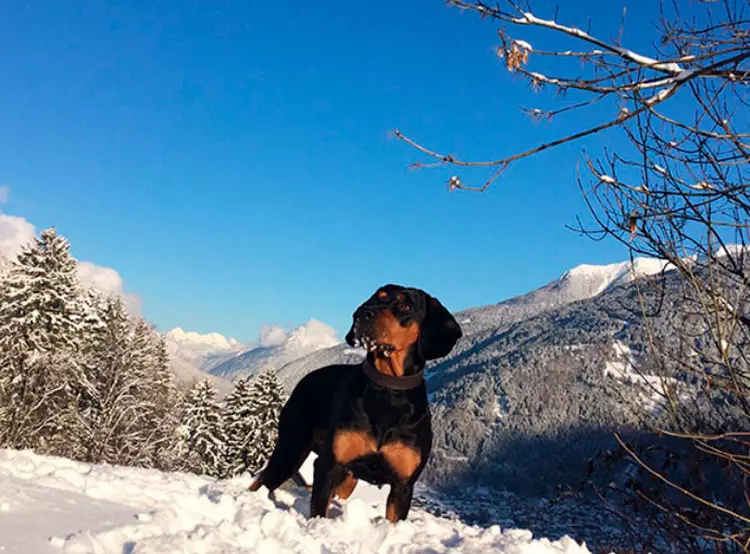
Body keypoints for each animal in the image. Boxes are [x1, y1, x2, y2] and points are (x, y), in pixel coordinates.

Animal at [251, 282, 464, 520]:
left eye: (406, 306)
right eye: (376, 298)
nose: (363, 313)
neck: (389, 391)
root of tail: (306, 378)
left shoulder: (403, 485)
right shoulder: (329, 465)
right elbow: (319, 510)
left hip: (346, 477)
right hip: (291, 449)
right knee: (262, 482)